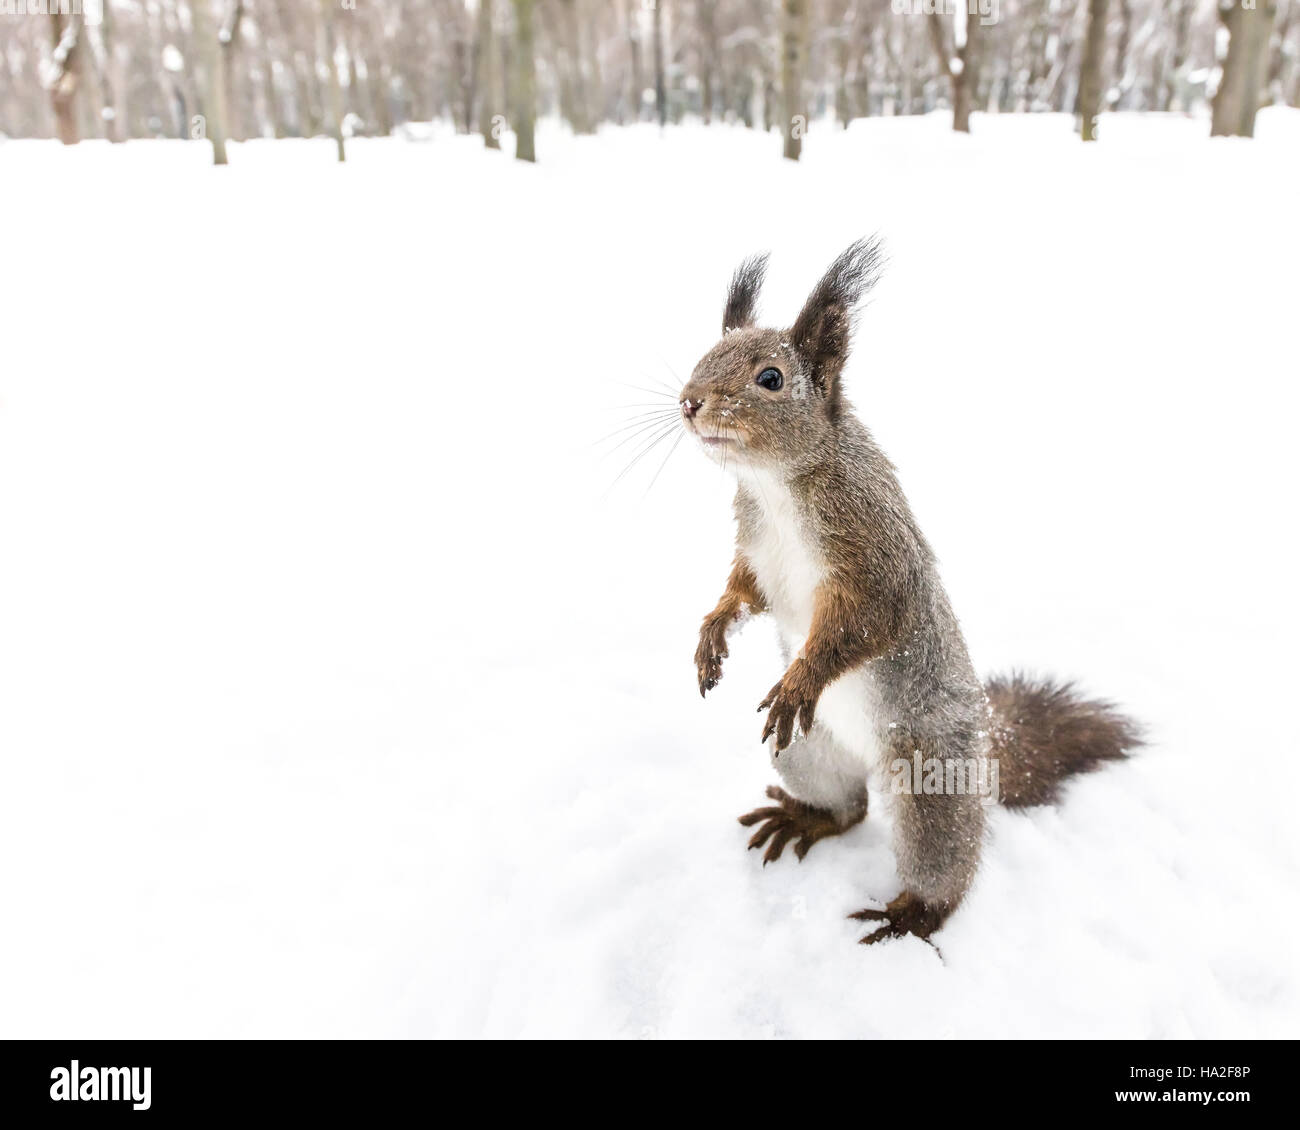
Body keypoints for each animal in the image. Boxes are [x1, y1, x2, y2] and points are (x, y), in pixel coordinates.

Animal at [682, 238, 1142, 945]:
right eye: (703, 355)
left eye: (771, 379)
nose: (688, 401)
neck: (776, 485)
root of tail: (985, 745)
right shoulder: (756, 548)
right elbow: (744, 593)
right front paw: (711, 635)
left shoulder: (875, 555)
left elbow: (870, 620)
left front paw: (801, 677)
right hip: (808, 752)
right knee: (849, 807)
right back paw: (806, 816)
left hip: (932, 783)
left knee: (941, 861)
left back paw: (908, 916)